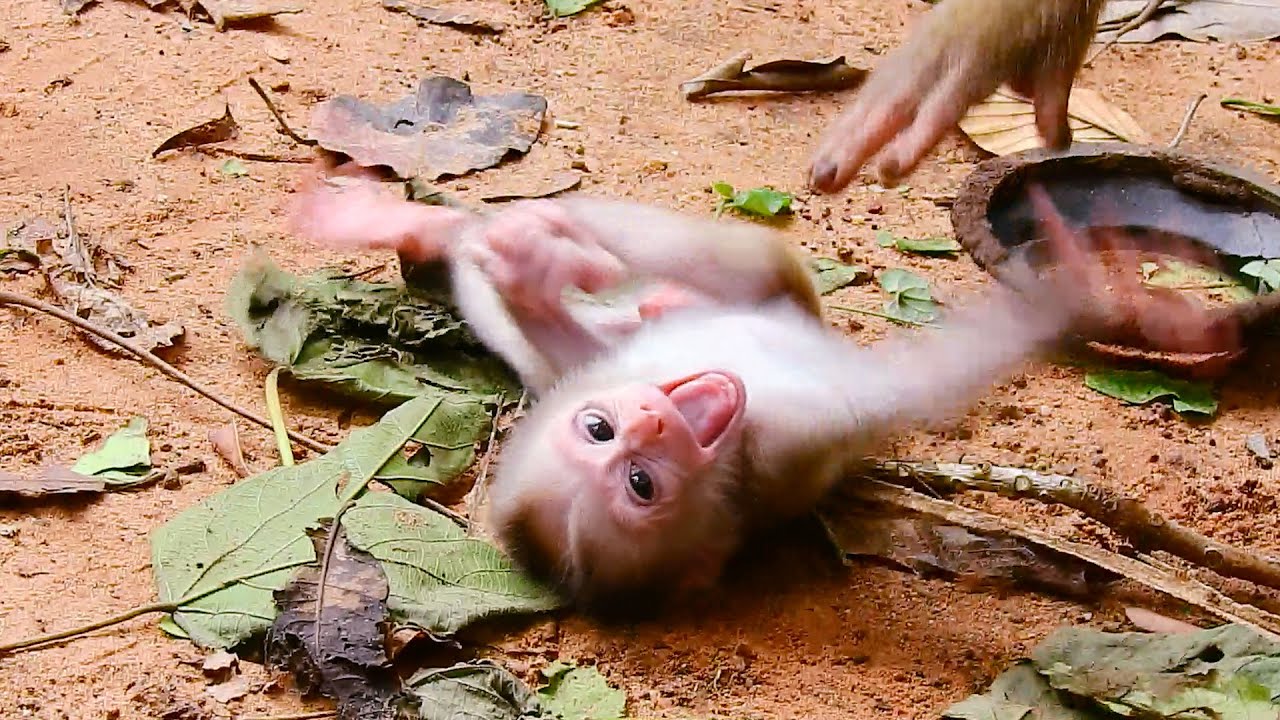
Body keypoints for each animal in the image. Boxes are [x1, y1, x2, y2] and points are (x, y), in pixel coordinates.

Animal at [291, 175, 1231, 614]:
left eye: (602, 431)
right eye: (640, 484)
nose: (647, 417)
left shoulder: (588, 375)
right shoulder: (794, 443)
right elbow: (929, 378)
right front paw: (1075, 298)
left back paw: (460, 234)